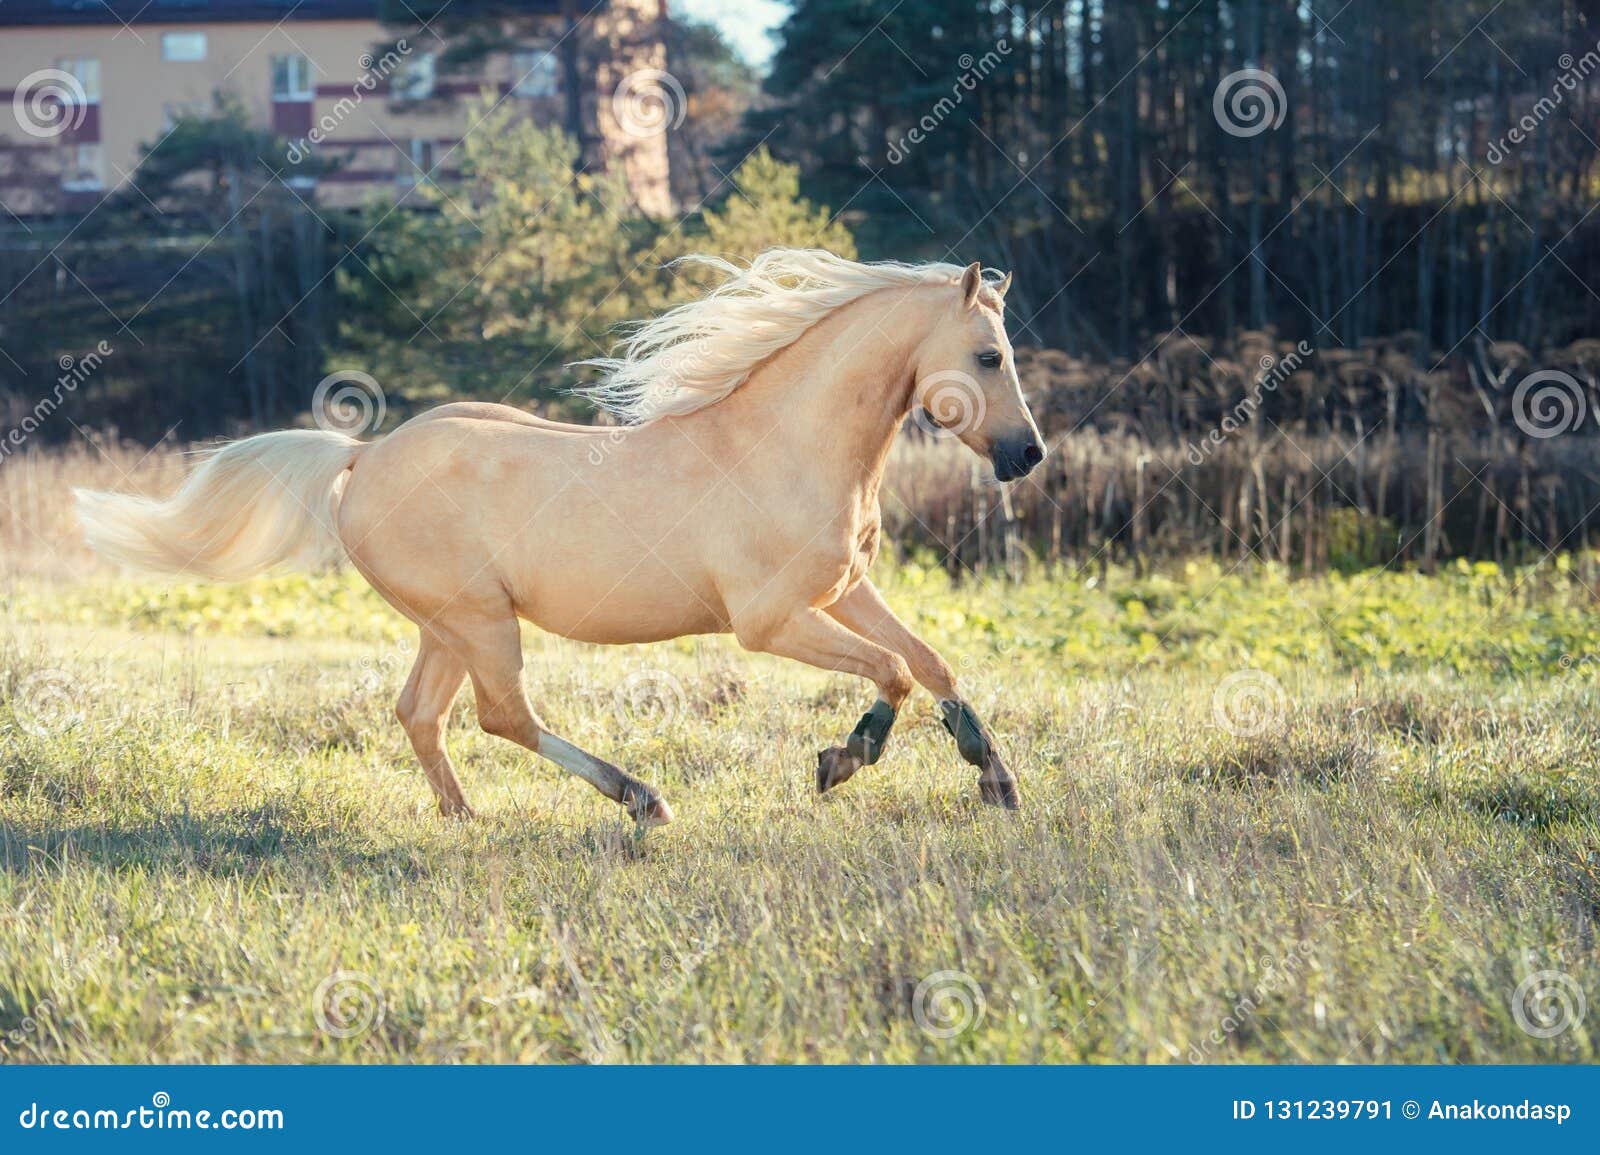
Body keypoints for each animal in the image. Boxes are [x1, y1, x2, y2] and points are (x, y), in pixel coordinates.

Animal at [74, 249, 1046, 825]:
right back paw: (640, 798)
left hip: (448, 626)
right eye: (990, 356)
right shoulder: (770, 621)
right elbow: (892, 674)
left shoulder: (843, 589)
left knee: (421, 714)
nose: (1027, 454)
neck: (784, 444)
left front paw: (997, 780)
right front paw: (841, 761)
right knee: (501, 714)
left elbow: (930, 662)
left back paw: (467, 817)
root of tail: (364, 454)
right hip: (479, 621)